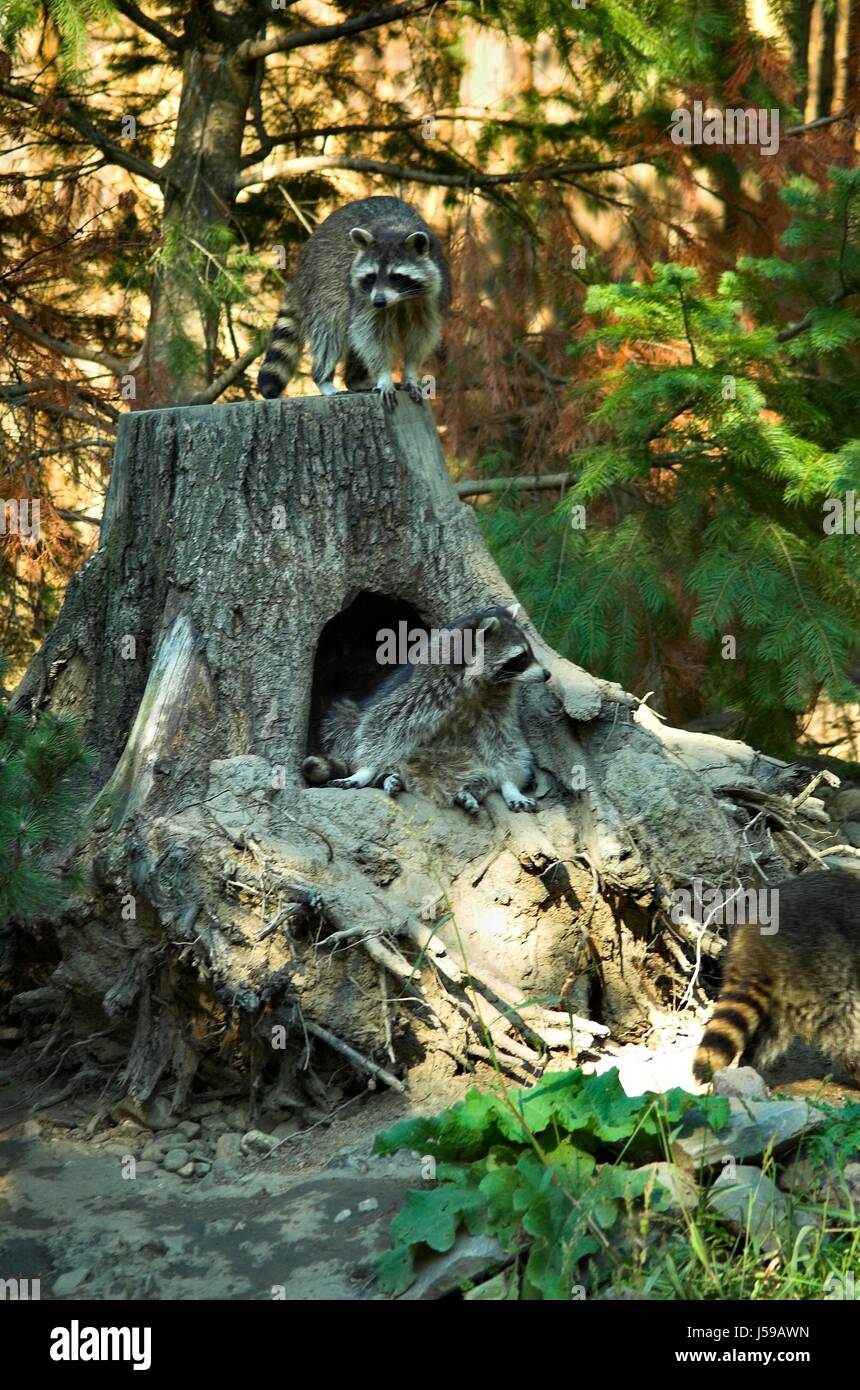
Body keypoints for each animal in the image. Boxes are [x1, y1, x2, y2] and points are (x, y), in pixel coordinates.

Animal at [258, 196, 450, 409]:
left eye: (396, 277)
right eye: (371, 276)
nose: (379, 301)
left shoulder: (432, 297)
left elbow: (421, 336)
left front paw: (410, 373)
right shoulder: (363, 298)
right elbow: (371, 337)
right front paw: (384, 376)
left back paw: (356, 380)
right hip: (324, 283)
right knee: (330, 333)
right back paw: (323, 378)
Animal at [302, 603, 551, 815]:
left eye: (530, 652)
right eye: (521, 657)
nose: (547, 674)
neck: (481, 684)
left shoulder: (497, 702)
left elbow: (505, 742)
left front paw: (510, 786)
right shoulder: (425, 685)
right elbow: (382, 726)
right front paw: (366, 769)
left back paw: (469, 790)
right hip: (348, 717)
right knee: (342, 722)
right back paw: (386, 776)